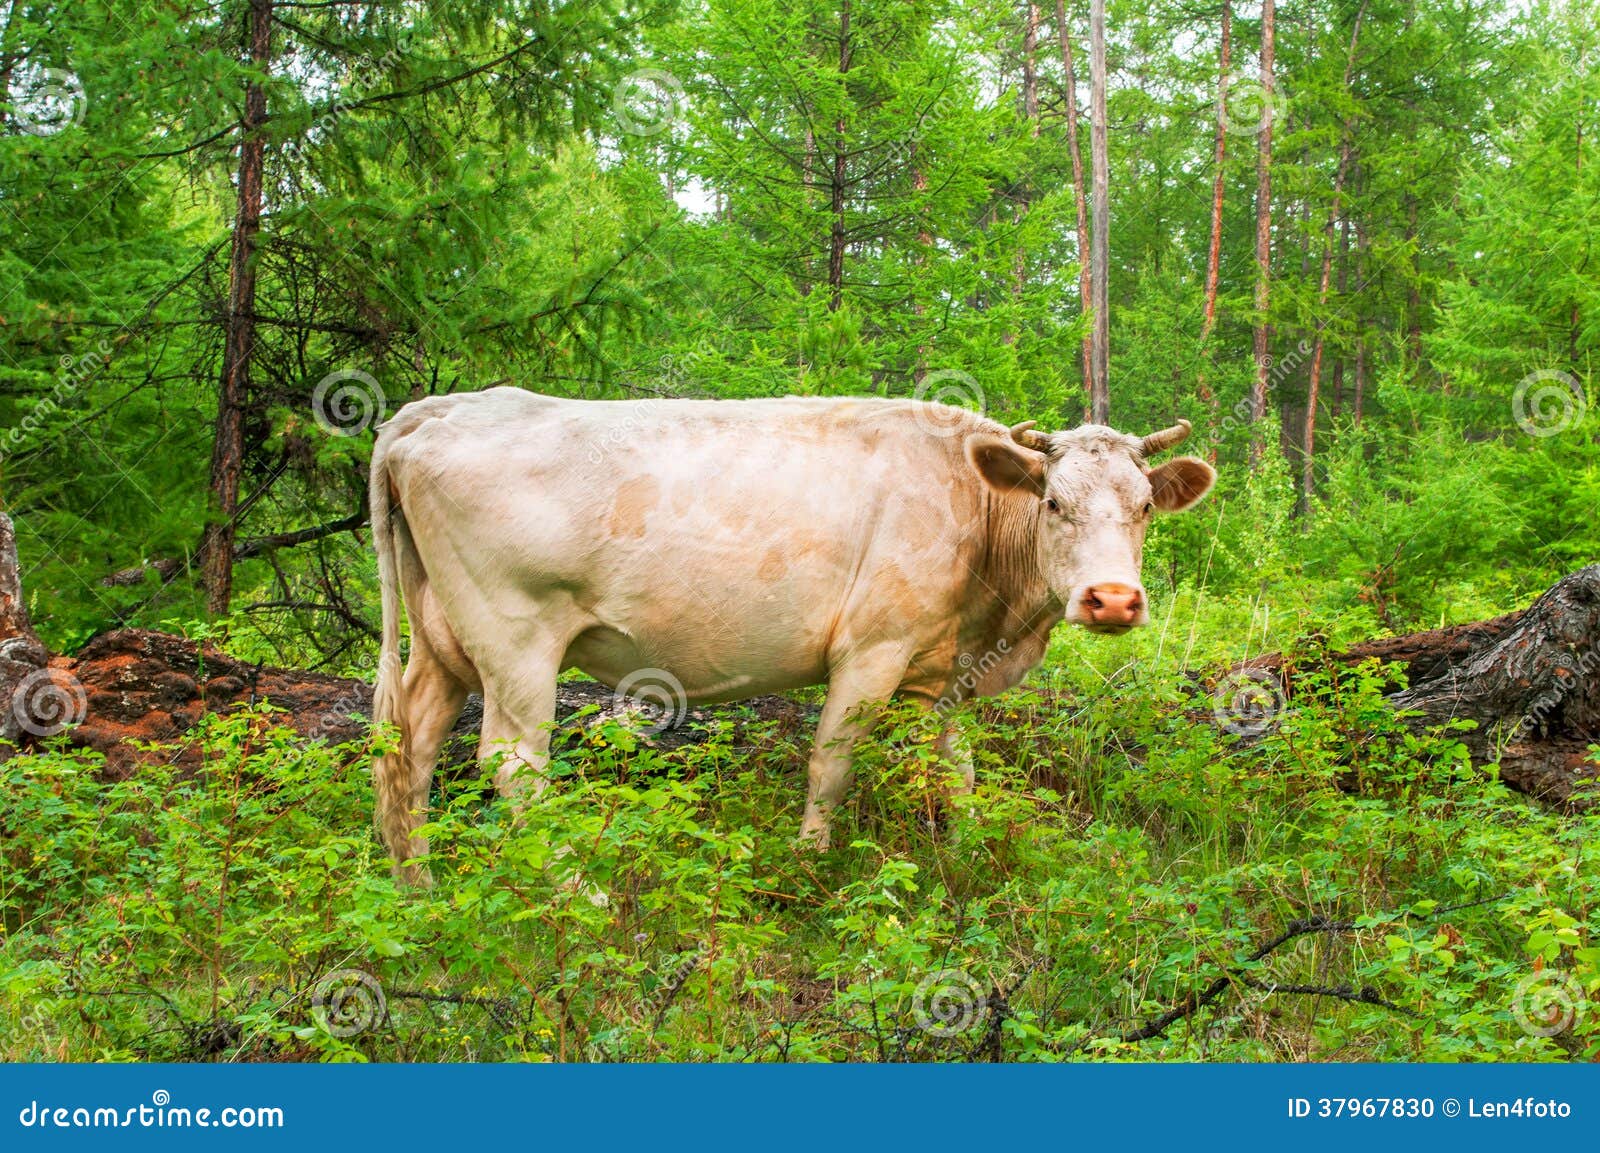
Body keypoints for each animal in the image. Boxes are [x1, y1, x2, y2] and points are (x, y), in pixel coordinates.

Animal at [369, 388, 1216, 882]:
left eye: (1144, 506)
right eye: (1053, 505)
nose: (1112, 599)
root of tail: (437, 409)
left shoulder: (941, 670)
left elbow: (957, 771)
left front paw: (970, 853)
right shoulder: (872, 649)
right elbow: (831, 764)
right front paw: (808, 867)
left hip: (444, 639)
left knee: (408, 748)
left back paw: (416, 888)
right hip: (516, 639)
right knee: (513, 766)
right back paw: (582, 892)